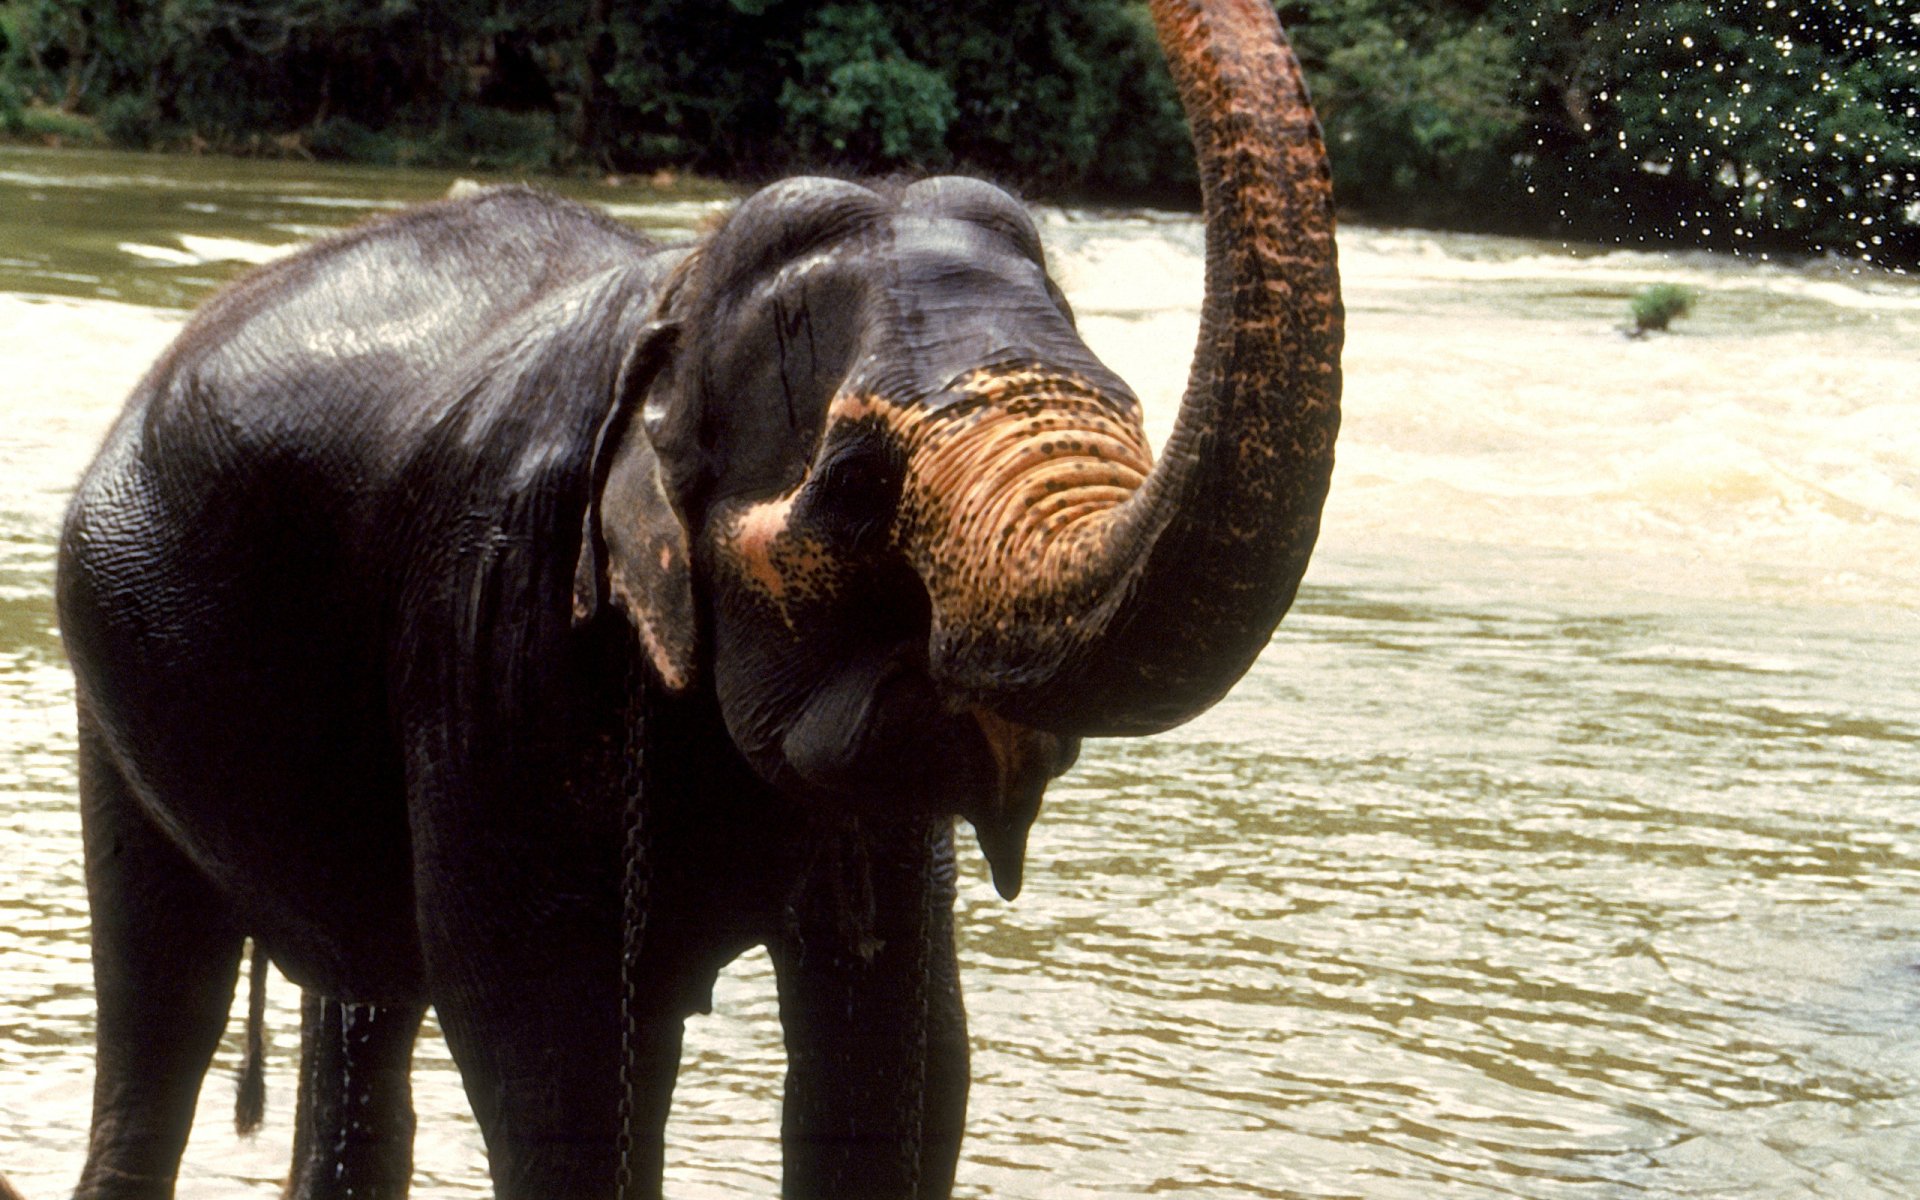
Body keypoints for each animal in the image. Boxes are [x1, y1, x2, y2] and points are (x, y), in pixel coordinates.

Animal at [52, 0, 1342, 1196]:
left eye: (1131, 408)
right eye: (854, 485)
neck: (673, 296)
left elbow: (908, 1052)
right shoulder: (500, 627)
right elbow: (555, 1049)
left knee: (359, 1001)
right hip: (104, 675)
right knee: (163, 997)